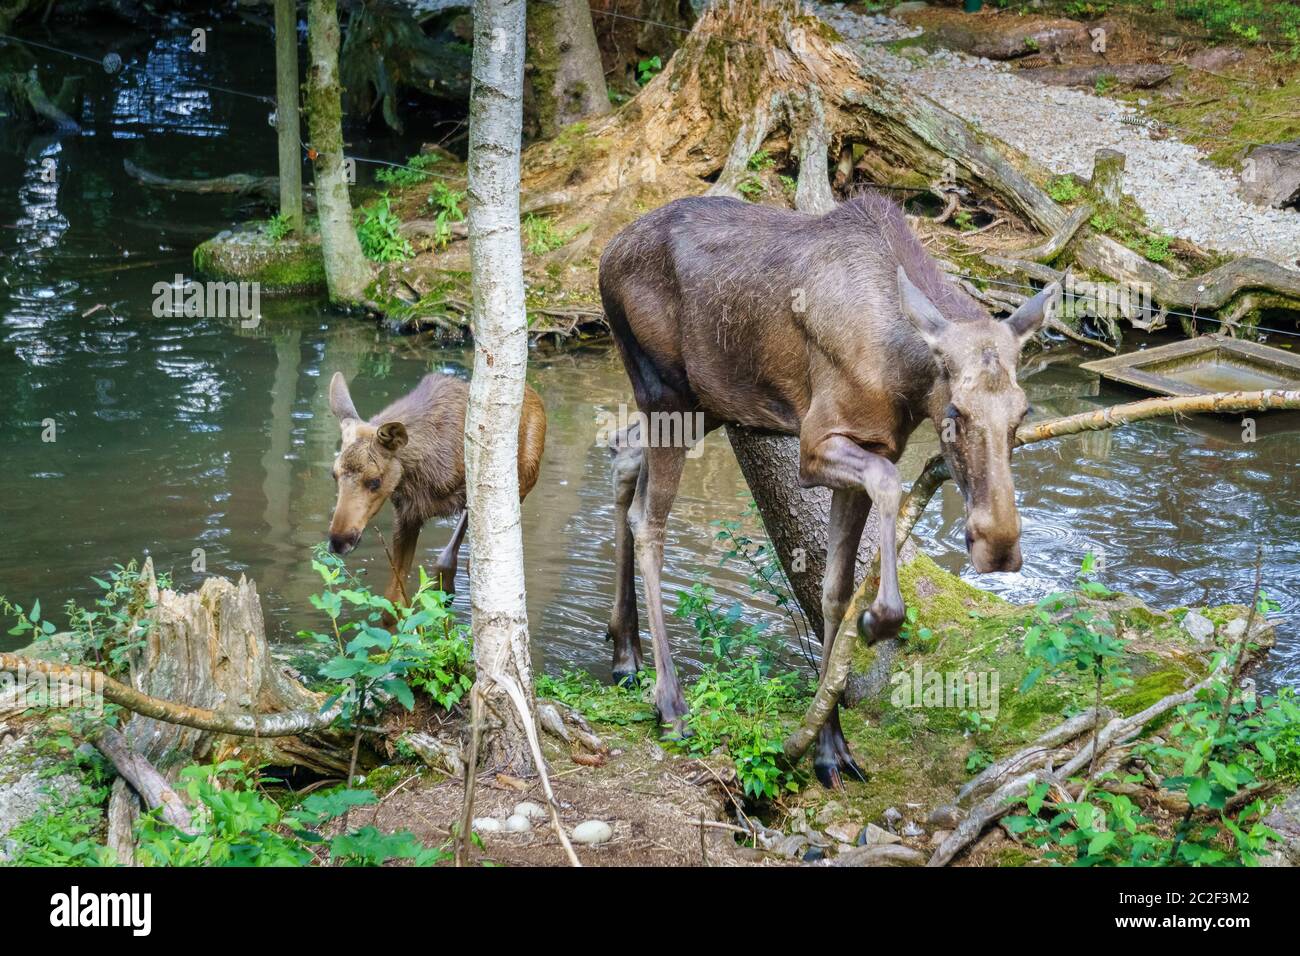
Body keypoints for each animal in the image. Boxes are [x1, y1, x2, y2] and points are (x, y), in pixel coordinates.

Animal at [325, 371, 547, 609]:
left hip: (523, 483)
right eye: (334, 474)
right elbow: (394, 600)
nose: (339, 540)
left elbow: (448, 562)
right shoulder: (407, 514)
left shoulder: (471, 494)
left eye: (375, 480)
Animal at [598, 192, 1058, 788]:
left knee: (622, 452)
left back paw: (625, 651)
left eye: (1023, 413)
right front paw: (879, 619)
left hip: (706, 403)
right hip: (665, 393)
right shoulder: (816, 446)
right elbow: (887, 489)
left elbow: (834, 589)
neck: (905, 374)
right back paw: (670, 702)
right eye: (955, 411)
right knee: (649, 523)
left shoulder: (873, 444)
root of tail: (605, 256)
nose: (998, 545)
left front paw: (831, 746)